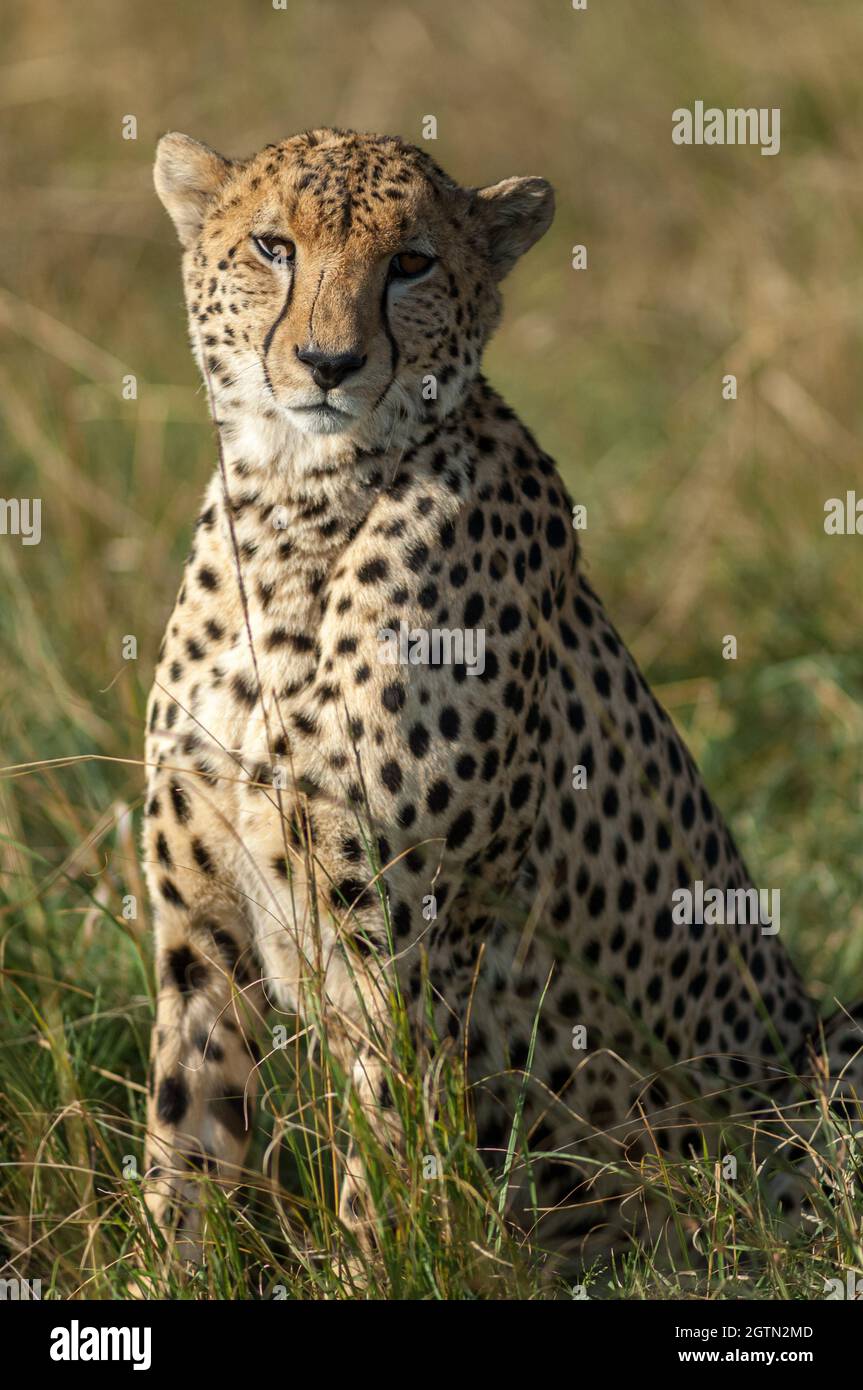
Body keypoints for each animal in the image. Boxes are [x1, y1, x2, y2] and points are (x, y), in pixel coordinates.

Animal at [142, 125, 863, 1272]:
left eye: (411, 263)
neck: (299, 505)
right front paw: (171, 1266)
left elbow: (389, 1169)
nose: (329, 363)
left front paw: (373, 1273)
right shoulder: (200, 930)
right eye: (272, 246)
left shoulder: (404, 947)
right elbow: (187, 1146)